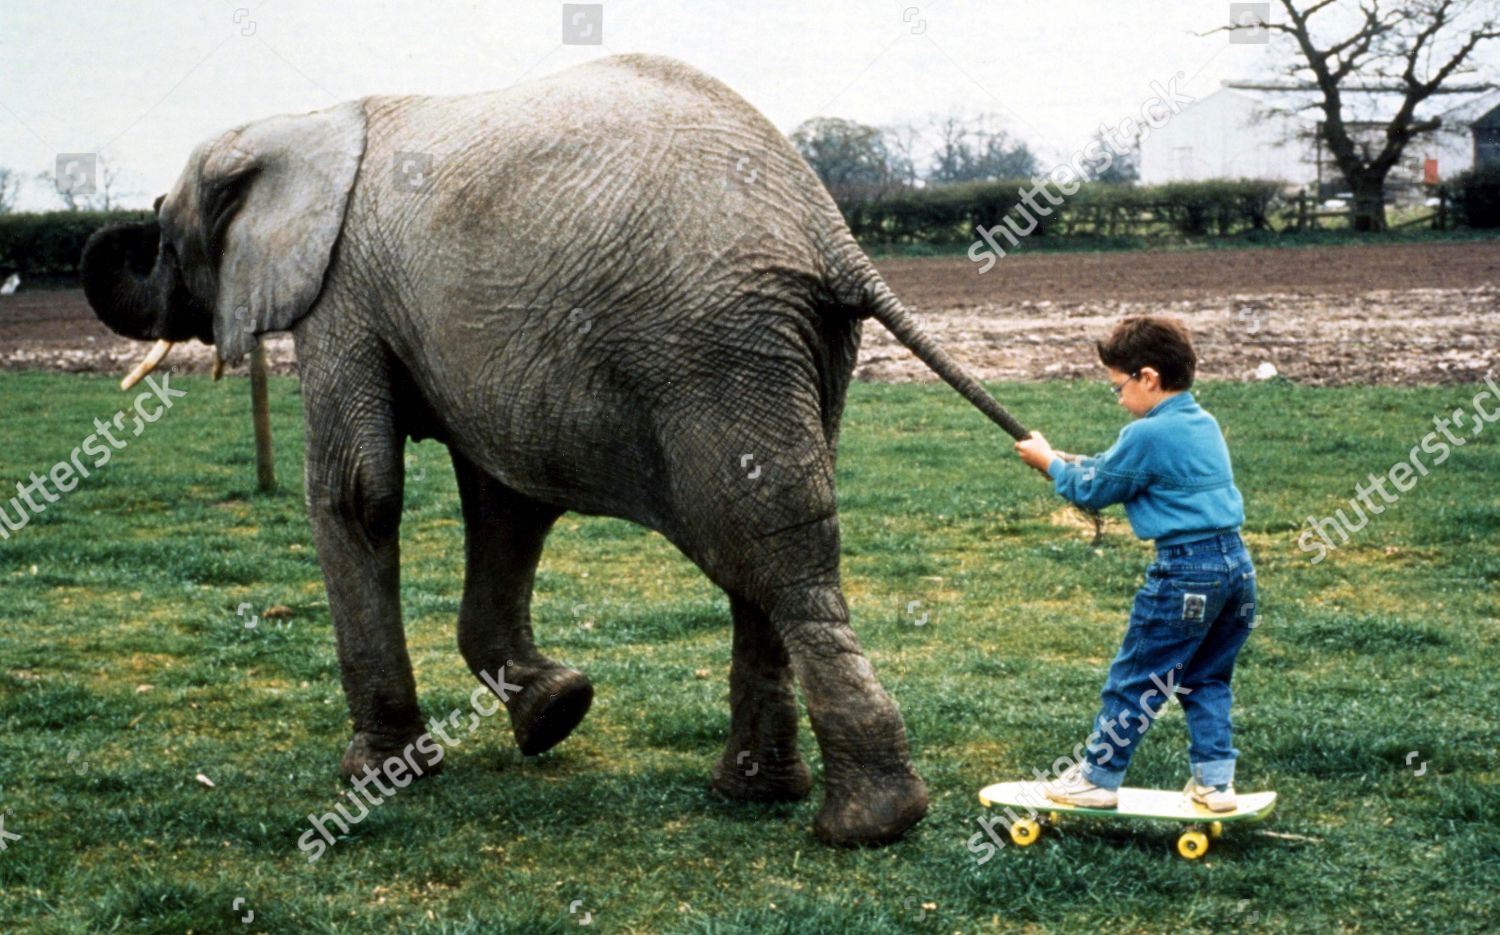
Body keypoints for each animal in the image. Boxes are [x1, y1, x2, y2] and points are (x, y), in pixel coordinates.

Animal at [80, 53, 1025, 846]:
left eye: (168, 239)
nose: (125, 222)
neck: (307, 123)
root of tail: (831, 234)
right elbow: (505, 500)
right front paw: (557, 711)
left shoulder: (341, 291)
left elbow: (359, 490)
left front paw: (380, 773)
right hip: (793, 349)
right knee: (771, 543)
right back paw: (770, 796)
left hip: (711, 347)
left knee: (767, 548)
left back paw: (865, 823)